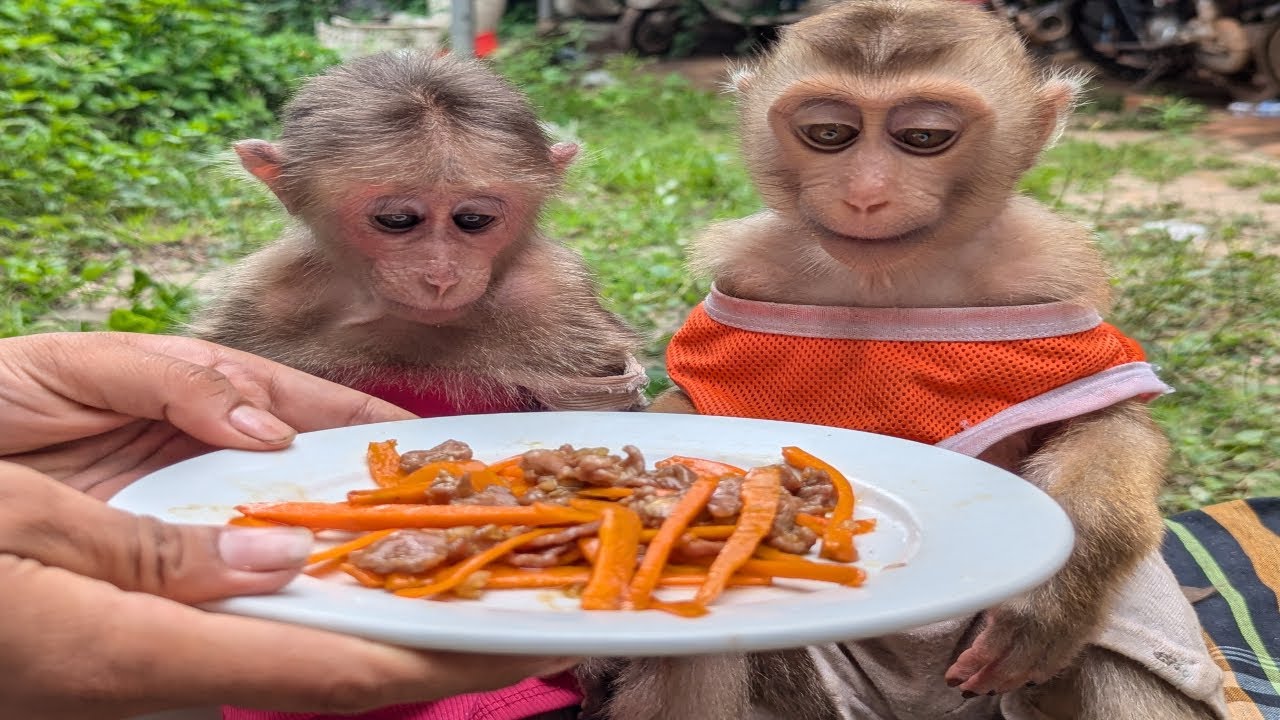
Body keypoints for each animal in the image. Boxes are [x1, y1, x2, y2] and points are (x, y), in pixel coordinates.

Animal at [581, 2, 1229, 719]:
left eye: (924, 137)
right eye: (828, 132)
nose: (866, 195)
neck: (889, 282)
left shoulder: (1052, 286)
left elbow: (1106, 422)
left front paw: (1050, 595)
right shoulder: (743, 281)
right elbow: (689, 407)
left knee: (1130, 627)